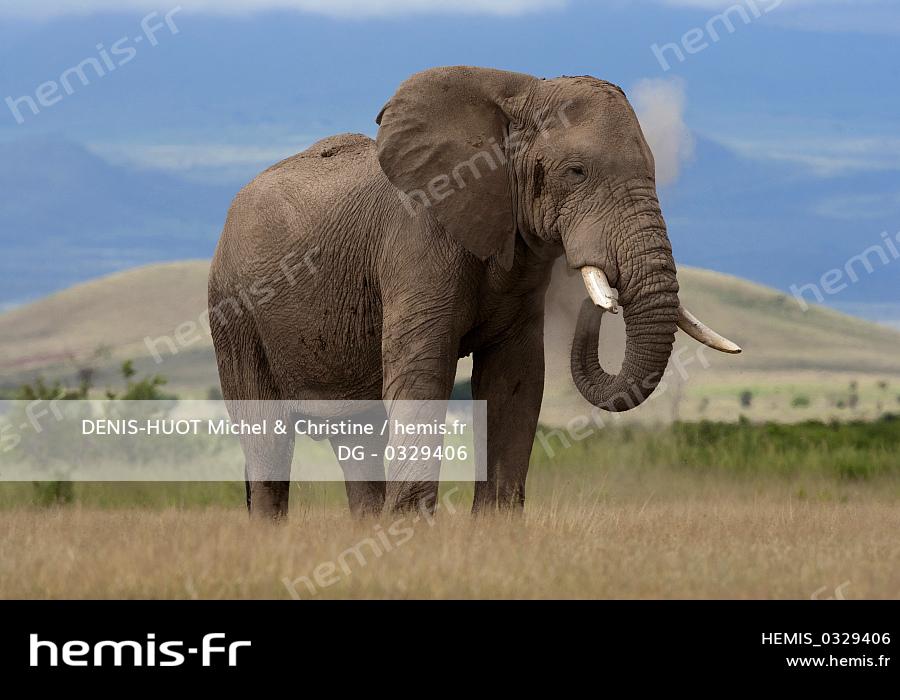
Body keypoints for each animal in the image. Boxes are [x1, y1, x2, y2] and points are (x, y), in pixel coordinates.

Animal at [209, 66, 740, 519]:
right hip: (233, 313)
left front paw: (495, 529)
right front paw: (412, 533)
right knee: (267, 439)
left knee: (356, 438)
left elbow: (515, 378)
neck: (518, 94)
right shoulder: (416, 245)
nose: (601, 288)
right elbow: (424, 373)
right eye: (576, 172)